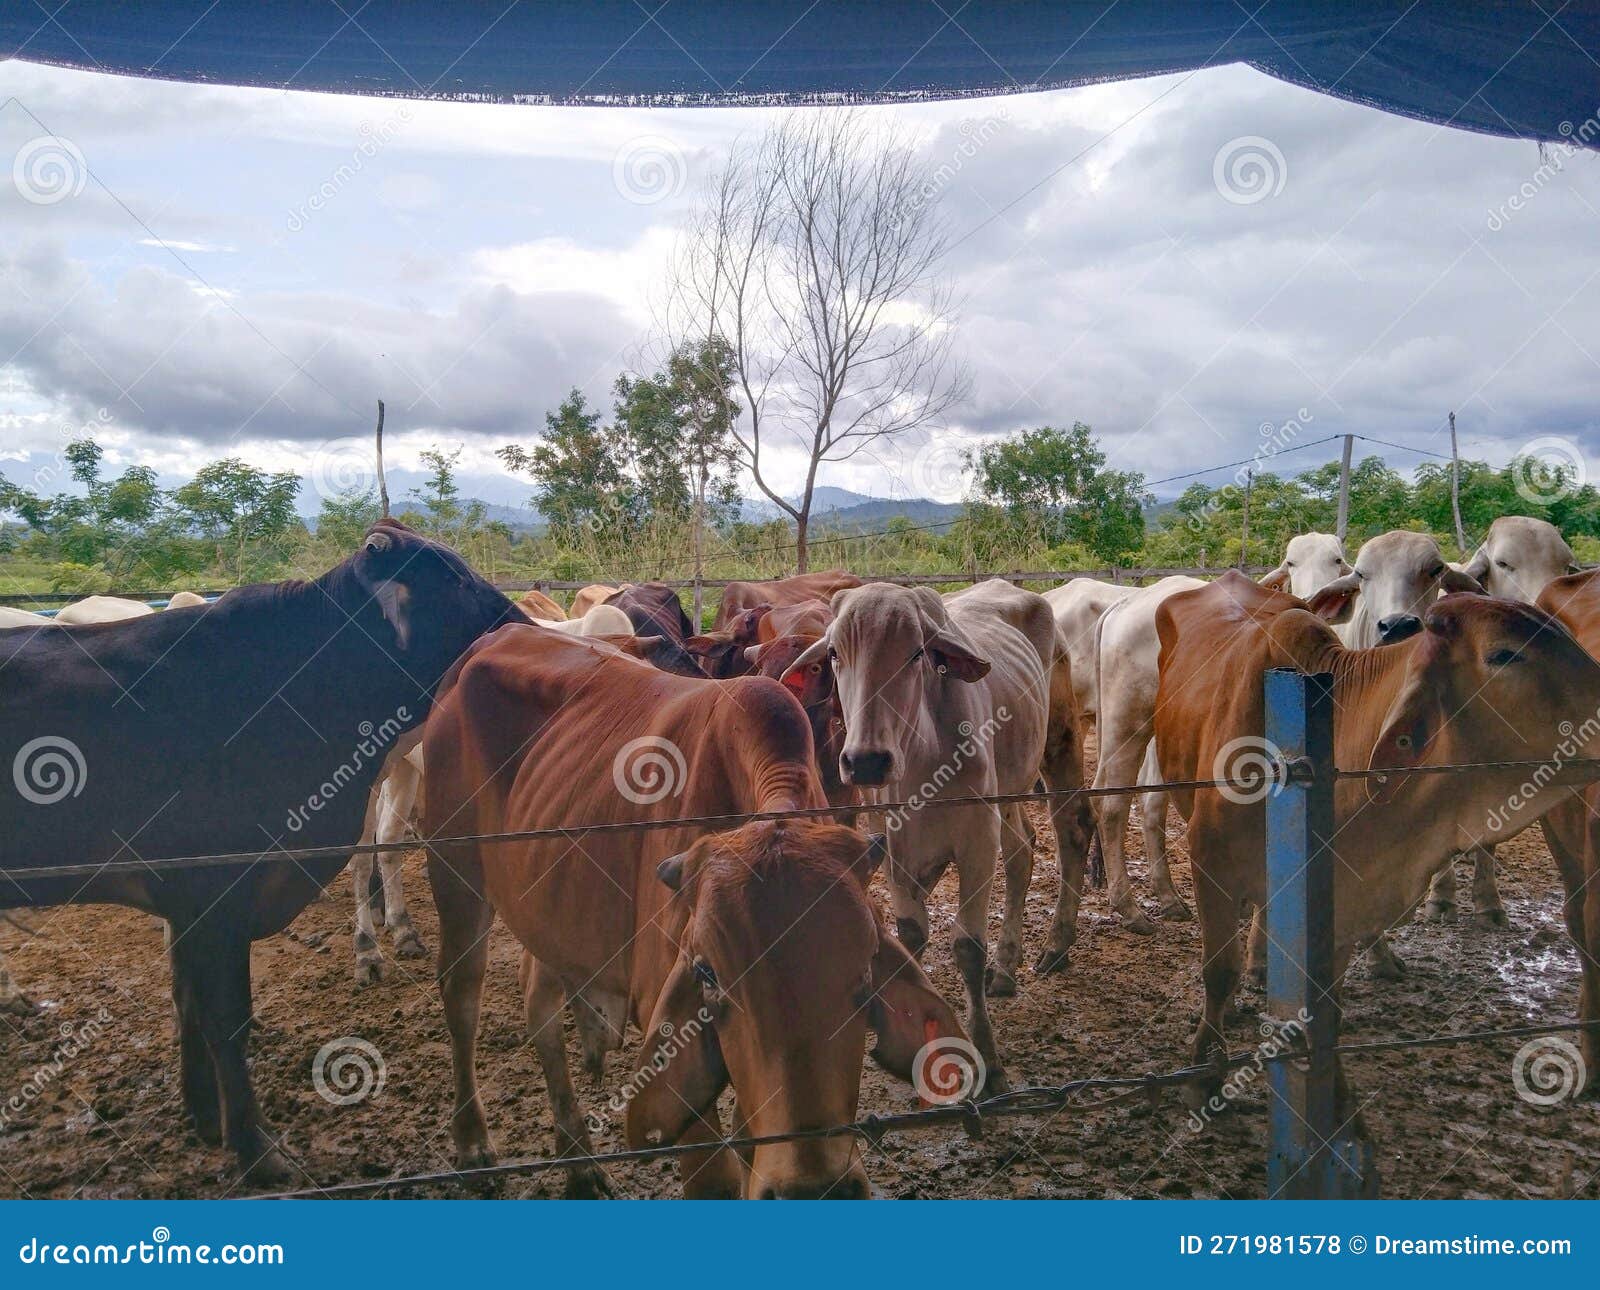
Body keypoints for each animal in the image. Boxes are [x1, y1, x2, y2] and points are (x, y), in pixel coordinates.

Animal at [0, 520, 523, 1182]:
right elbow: (225, 1020)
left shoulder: (187, 907)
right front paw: (259, 1153)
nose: (522, 626)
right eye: (452, 580)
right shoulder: (208, 896)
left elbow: (188, 1006)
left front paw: (204, 1117)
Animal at [422, 626, 967, 1198]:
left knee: (539, 1003)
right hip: (456, 876)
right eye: (708, 975)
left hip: (544, 909)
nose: (814, 1185)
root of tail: (489, 640)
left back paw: (579, 1159)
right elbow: (716, 1178)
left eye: (864, 972)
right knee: (461, 995)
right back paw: (473, 1142)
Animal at [781, 579, 1095, 1086]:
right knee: (1023, 849)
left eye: (917, 653)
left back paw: (1056, 945)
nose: (867, 761)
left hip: (1060, 740)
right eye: (833, 653)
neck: (920, 758)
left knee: (1072, 828)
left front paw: (987, 1055)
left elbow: (967, 947)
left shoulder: (976, 838)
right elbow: (911, 936)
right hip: (1009, 788)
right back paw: (1006, 967)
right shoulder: (891, 842)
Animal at [1153, 571, 1600, 1120]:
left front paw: (1335, 1095)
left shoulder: (1343, 891)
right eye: (1504, 654)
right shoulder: (1209, 861)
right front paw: (1205, 1074)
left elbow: (1326, 997)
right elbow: (1219, 971)